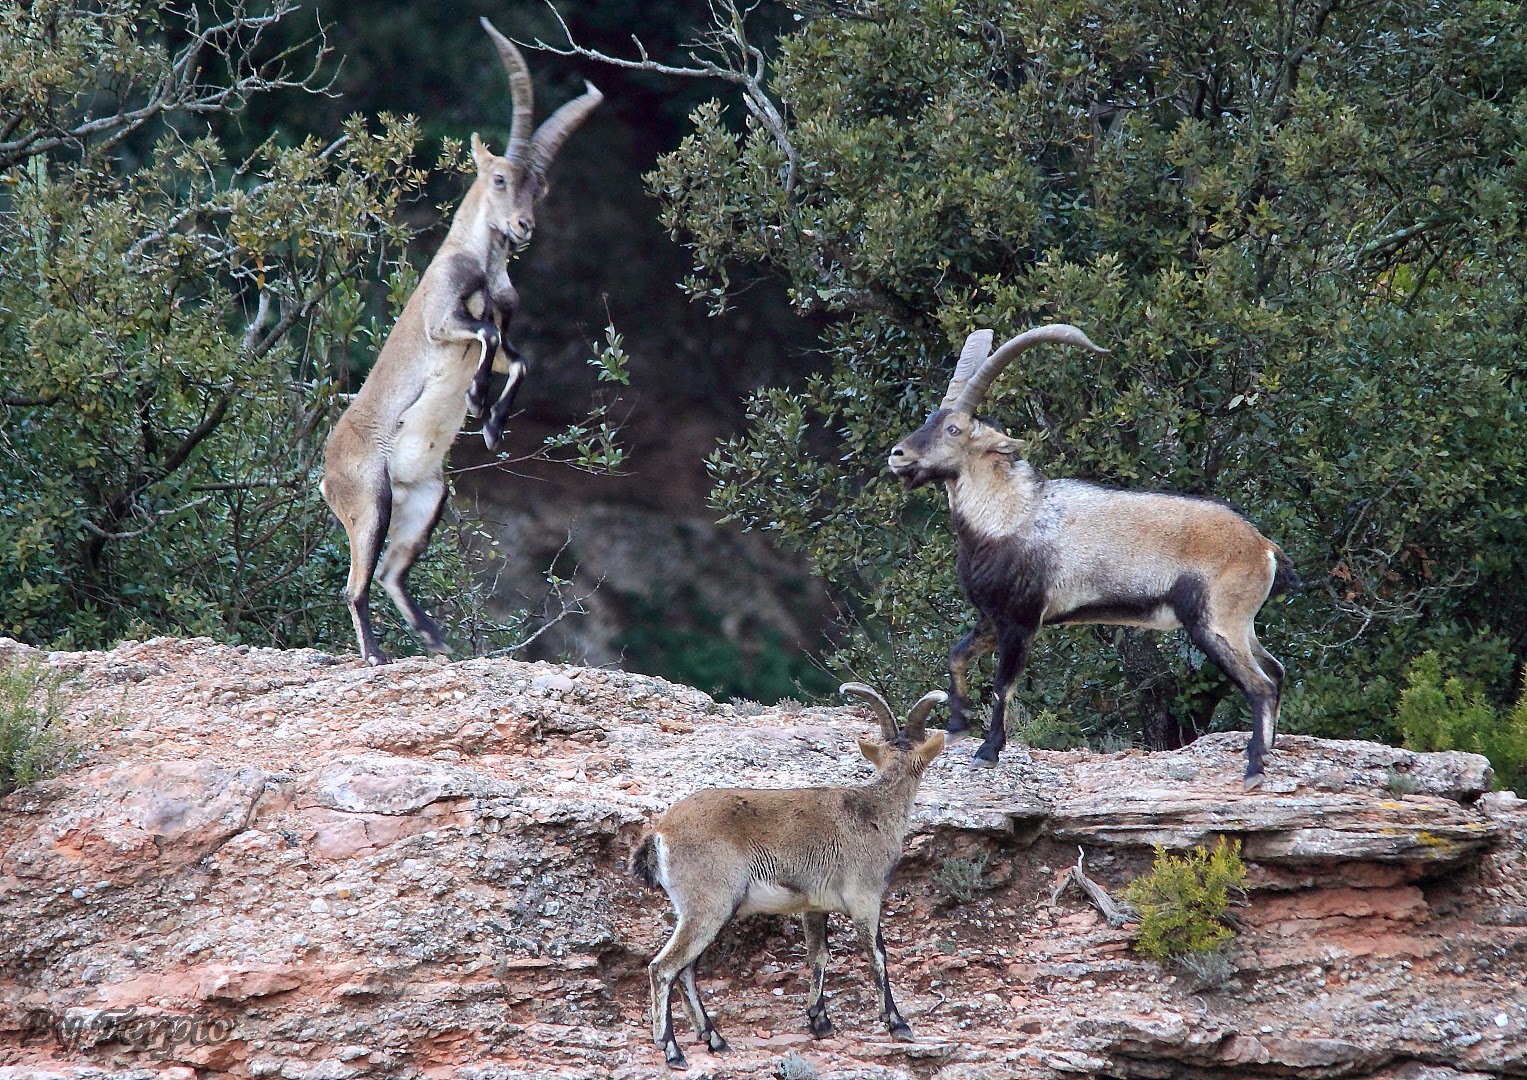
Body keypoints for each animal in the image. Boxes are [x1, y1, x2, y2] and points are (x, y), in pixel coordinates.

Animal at [320, 17, 601, 665]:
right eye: (499, 178)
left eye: (539, 187)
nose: (523, 227)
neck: (482, 265)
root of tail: (325, 473)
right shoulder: (444, 323)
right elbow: (487, 331)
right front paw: (475, 402)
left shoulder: (499, 338)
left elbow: (518, 359)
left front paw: (492, 423)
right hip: (371, 499)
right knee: (356, 582)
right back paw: (375, 655)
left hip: (427, 500)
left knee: (392, 571)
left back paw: (434, 639)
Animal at [630, 683, 947, 1068]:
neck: (873, 810)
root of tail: (661, 833)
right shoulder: (866, 897)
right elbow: (878, 956)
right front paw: (898, 1024)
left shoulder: (814, 905)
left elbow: (819, 955)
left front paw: (819, 1021)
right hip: (710, 906)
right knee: (664, 969)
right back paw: (673, 1050)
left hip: (699, 909)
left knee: (686, 970)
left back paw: (715, 1039)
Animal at [888, 327, 1299, 789]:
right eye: (930, 419)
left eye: (954, 429)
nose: (898, 456)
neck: (1009, 517)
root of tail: (1263, 546)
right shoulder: (992, 617)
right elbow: (957, 654)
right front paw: (957, 727)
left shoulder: (1022, 619)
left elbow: (1002, 686)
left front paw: (988, 751)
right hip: (1240, 623)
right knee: (1276, 670)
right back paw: (1268, 751)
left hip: (1216, 622)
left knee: (1261, 684)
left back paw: (1254, 768)